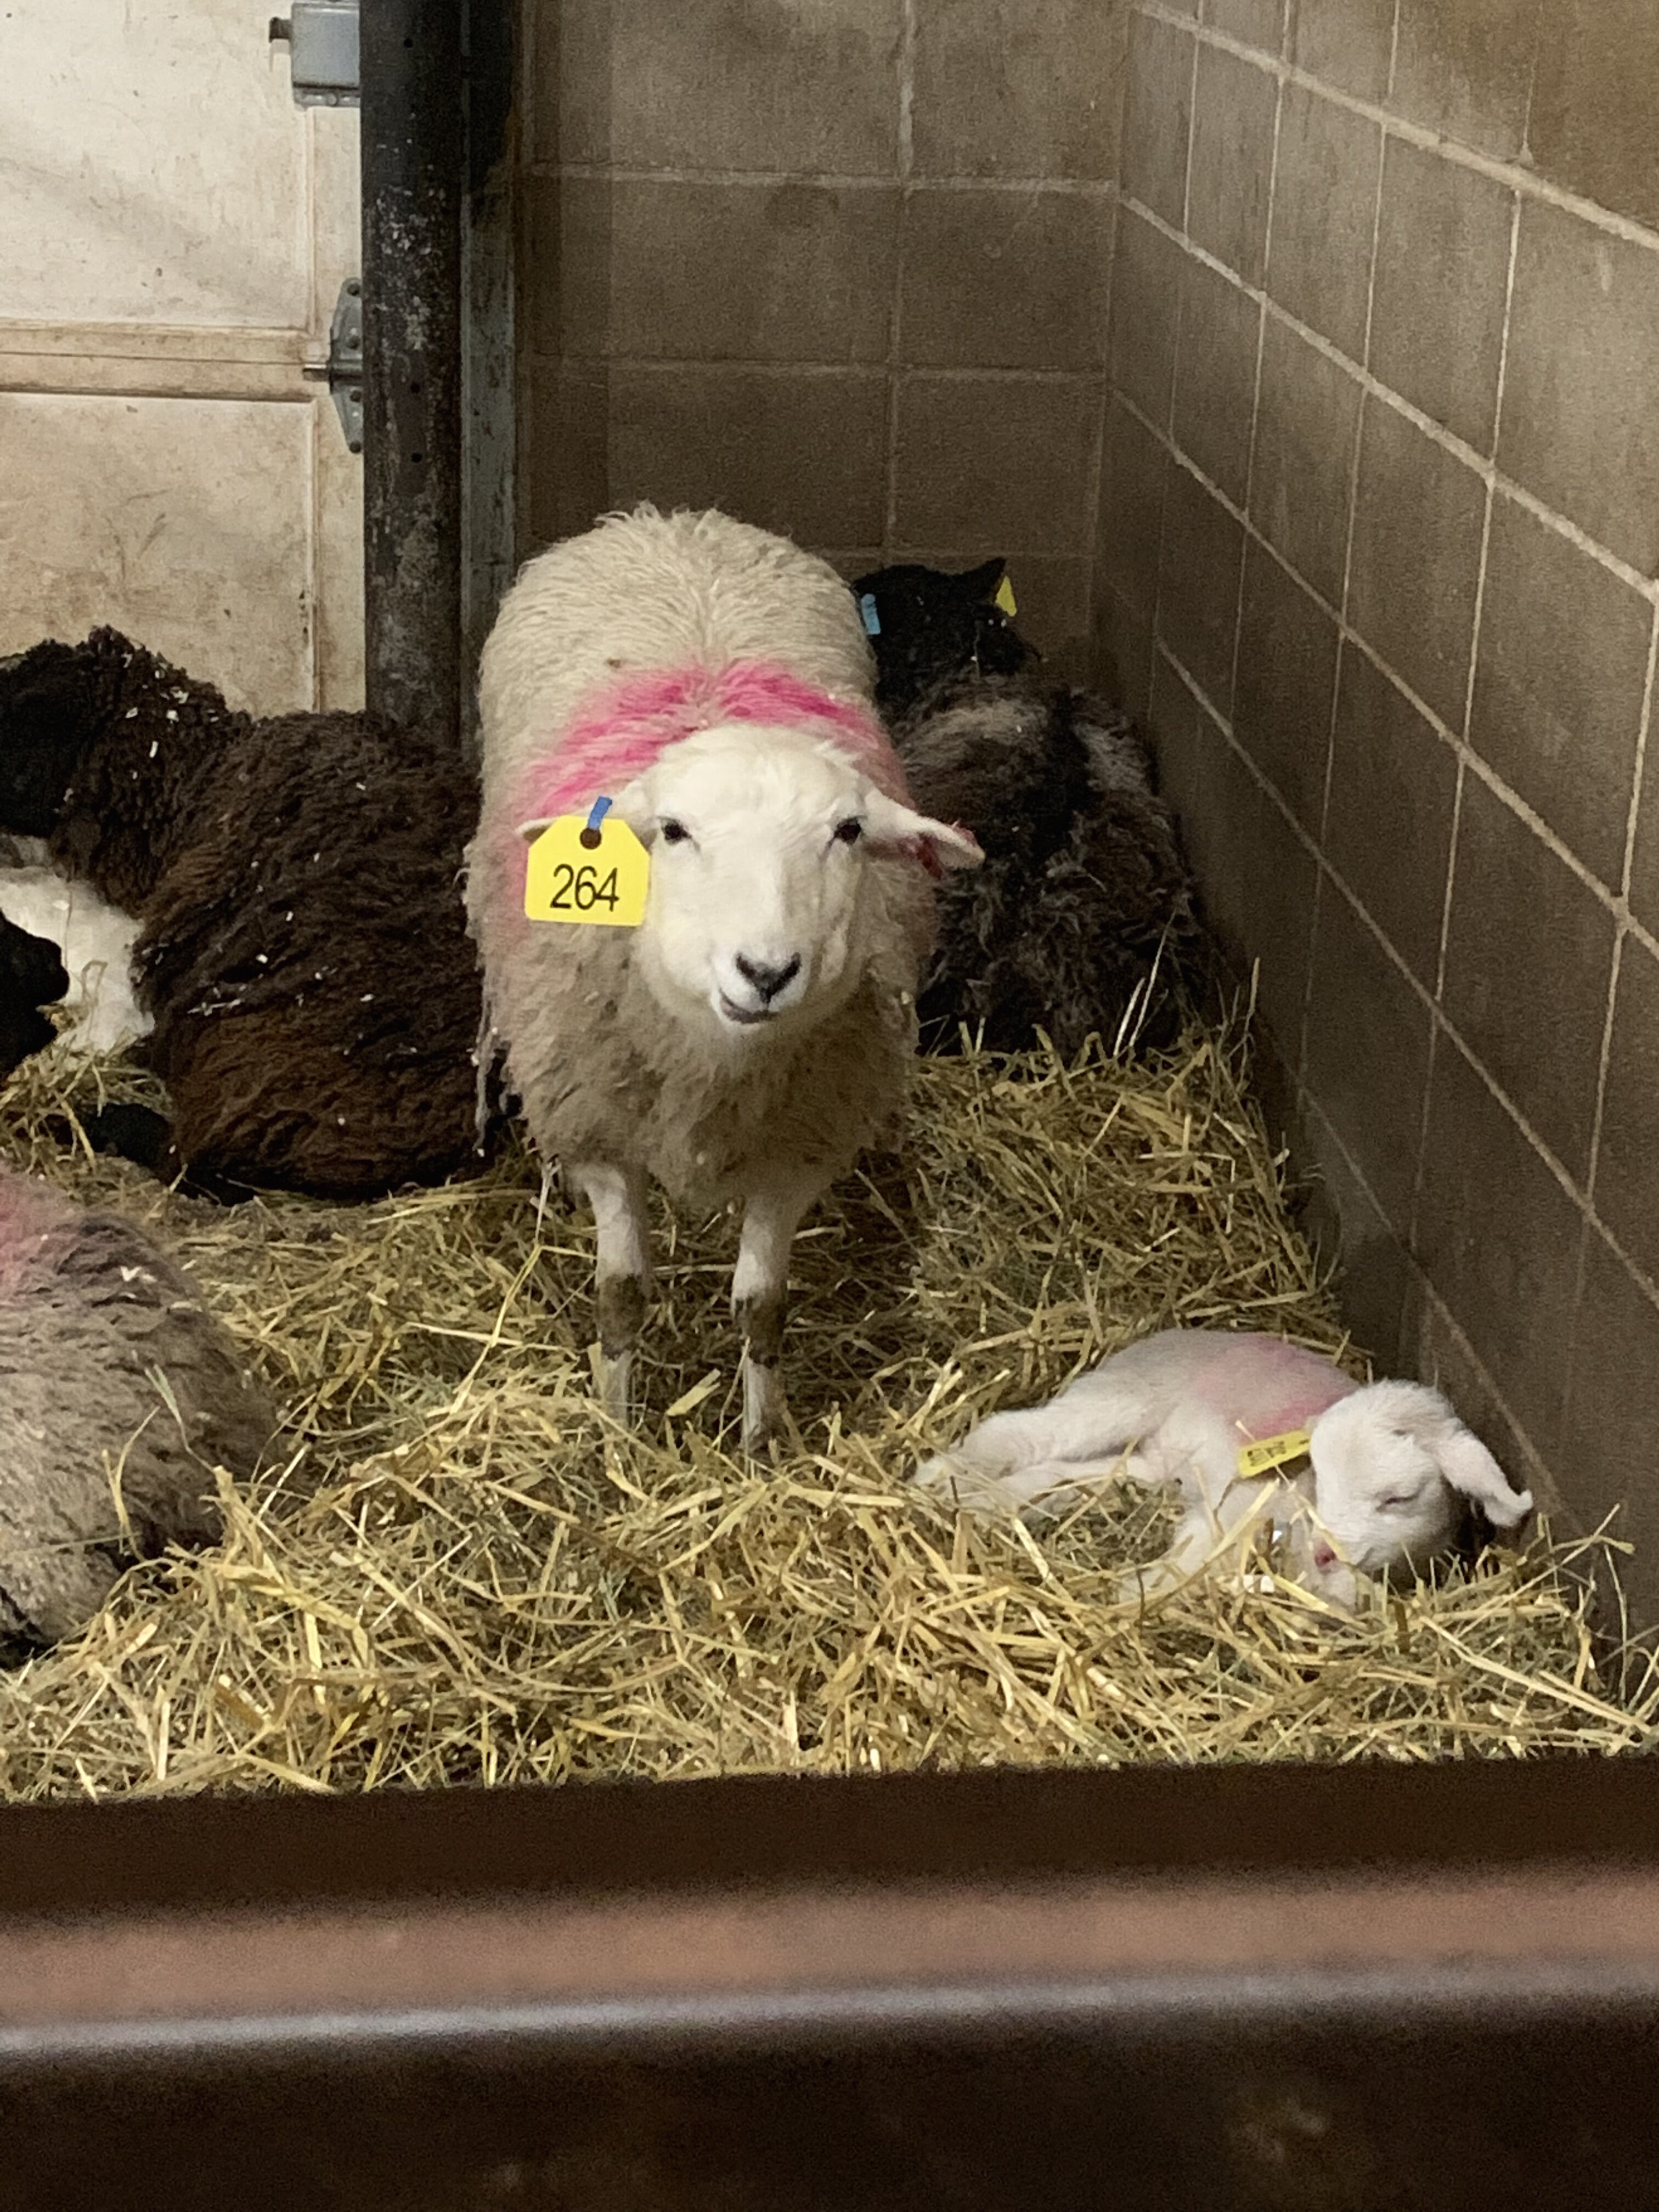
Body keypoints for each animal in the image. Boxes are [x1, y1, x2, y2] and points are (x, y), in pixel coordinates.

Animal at [468, 505, 983, 1446]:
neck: (717, 1066)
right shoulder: (601, 1130)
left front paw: (757, 1440)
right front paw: (618, 1430)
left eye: (849, 833)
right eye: (673, 831)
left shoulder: (798, 1148)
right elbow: (621, 1294)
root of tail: (675, 522)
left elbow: (762, 1307)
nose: (766, 971)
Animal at [914, 1327, 1534, 1609]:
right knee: (1021, 1432)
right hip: (1123, 1398)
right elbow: (1195, 1555)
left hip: (1154, 1460)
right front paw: (1138, 1596)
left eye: (1398, 1498)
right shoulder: (1243, 1502)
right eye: (1320, 1477)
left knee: (1068, 1472)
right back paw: (944, 1477)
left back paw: (984, 1502)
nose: (1324, 1550)